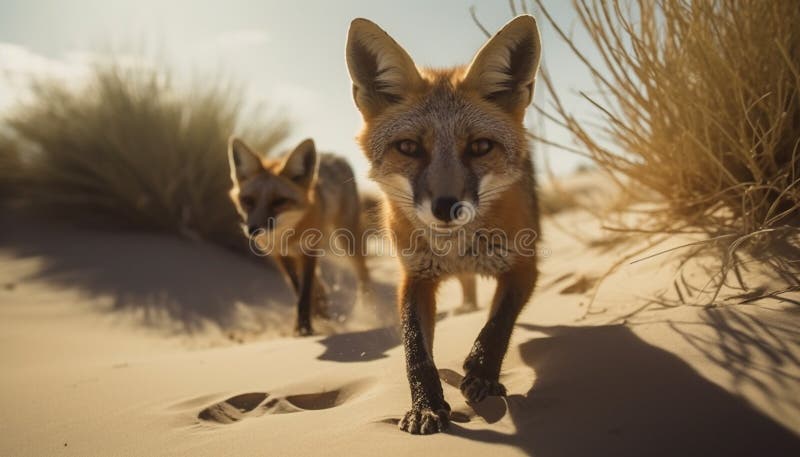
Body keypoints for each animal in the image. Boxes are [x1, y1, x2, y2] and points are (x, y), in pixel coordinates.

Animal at [227, 137, 372, 336]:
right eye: (248, 201)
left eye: (279, 202)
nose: (252, 230)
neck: (285, 238)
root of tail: (333, 155)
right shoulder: (281, 257)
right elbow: (298, 287)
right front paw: (310, 318)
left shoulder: (308, 251)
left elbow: (305, 293)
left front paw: (304, 328)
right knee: (320, 284)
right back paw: (322, 307)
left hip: (348, 240)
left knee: (363, 274)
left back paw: (369, 310)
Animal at [346, 15, 542, 434]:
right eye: (408, 148)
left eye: (480, 147)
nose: (447, 207)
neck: (457, 249)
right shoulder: (415, 276)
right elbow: (415, 349)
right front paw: (425, 405)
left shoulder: (524, 266)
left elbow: (498, 324)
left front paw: (482, 372)